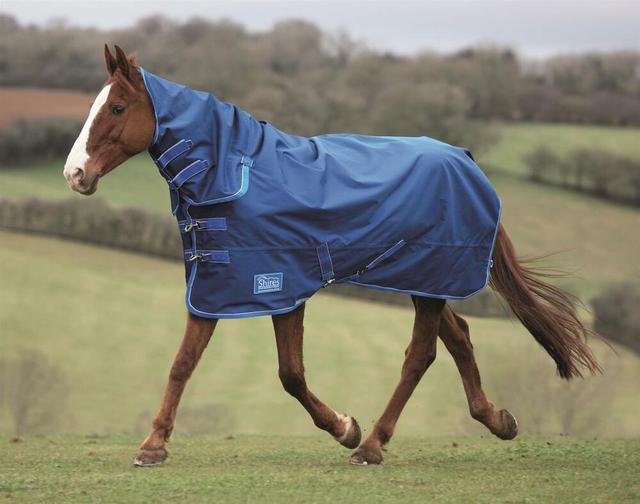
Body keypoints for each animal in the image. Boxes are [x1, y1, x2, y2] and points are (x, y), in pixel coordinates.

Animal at [63, 45, 600, 467]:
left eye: (116, 107)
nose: (75, 173)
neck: (236, 176)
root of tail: (468, 162)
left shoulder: (278, 287)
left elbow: (290, 375)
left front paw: (347, 428)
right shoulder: (216, 285)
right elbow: (182, 364)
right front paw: (153, 445)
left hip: (428, 280)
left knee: (420, 355)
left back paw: (373, 446)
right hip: (426, 280)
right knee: (460, 338)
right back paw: (498, 420)